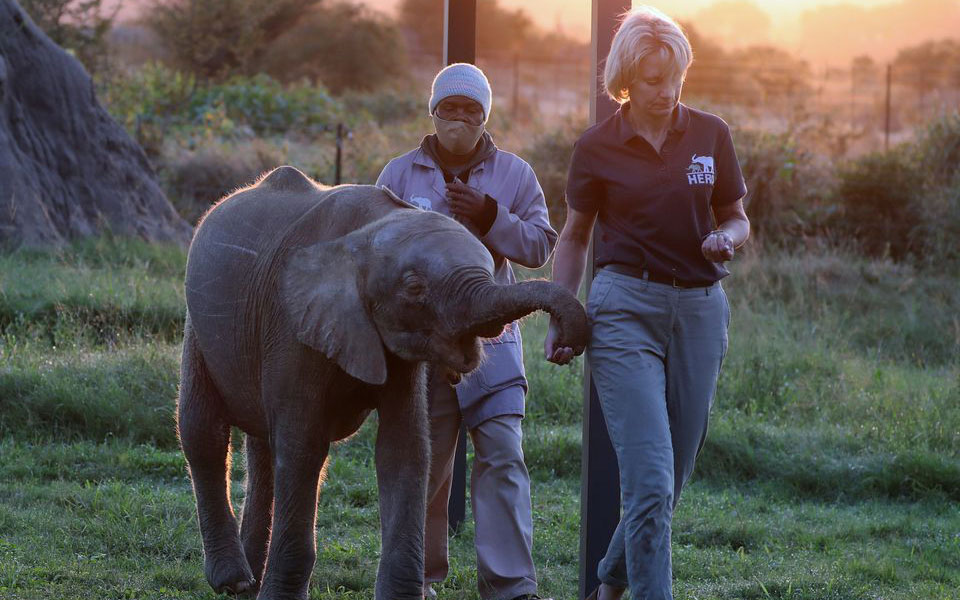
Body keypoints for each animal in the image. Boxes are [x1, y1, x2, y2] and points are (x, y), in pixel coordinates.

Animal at [177, 165, 589, 600]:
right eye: (414, 288)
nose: (566, 344)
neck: (366, 234)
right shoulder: (292, 323)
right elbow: (304, 447)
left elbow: (405, 448)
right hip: (198, 327)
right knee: (204, 431)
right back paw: (234, 580)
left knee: (262, 448)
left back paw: (250, 581)